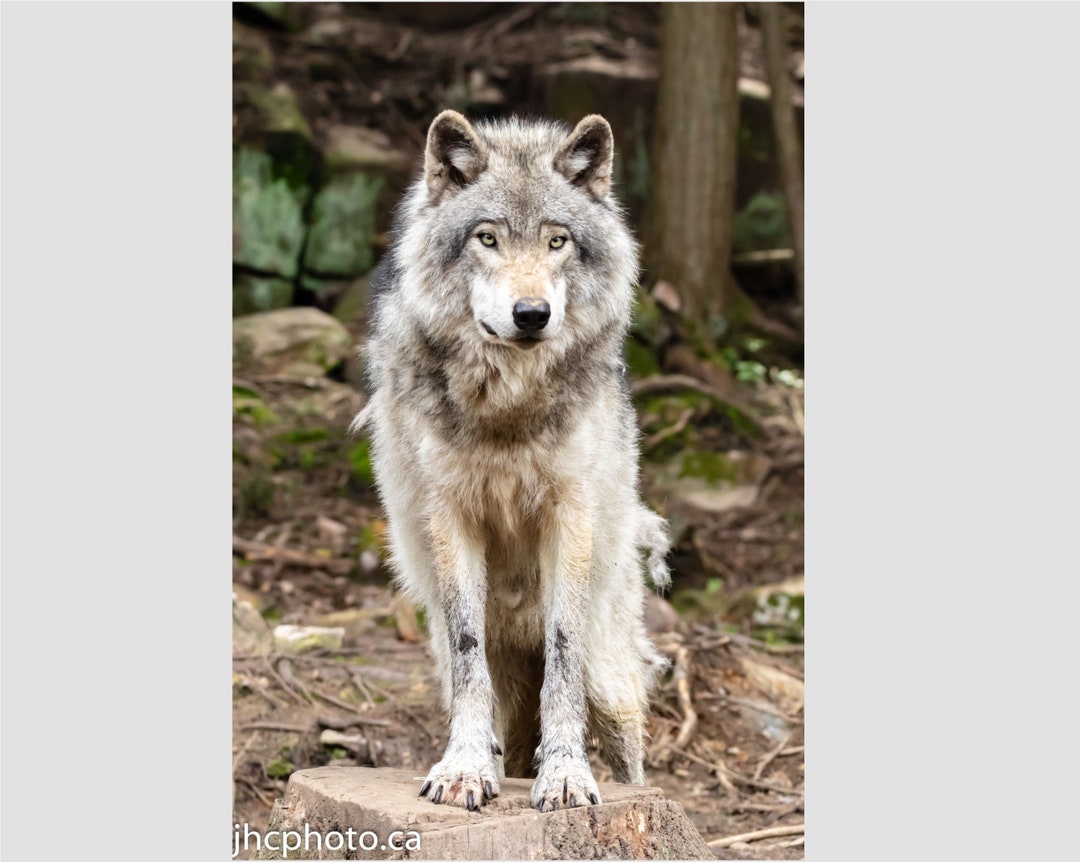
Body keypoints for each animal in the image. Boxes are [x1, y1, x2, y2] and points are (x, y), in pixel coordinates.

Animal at [354, 109, 671, 812]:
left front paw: (567, 776)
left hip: (611, 677)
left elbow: (563, 656)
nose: (531, 315)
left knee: (630, 752)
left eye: (557, 242)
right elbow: (469, 655)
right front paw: (465, 770)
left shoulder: (569, 517)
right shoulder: (451, 518)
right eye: (488, 238)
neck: (507, 406)